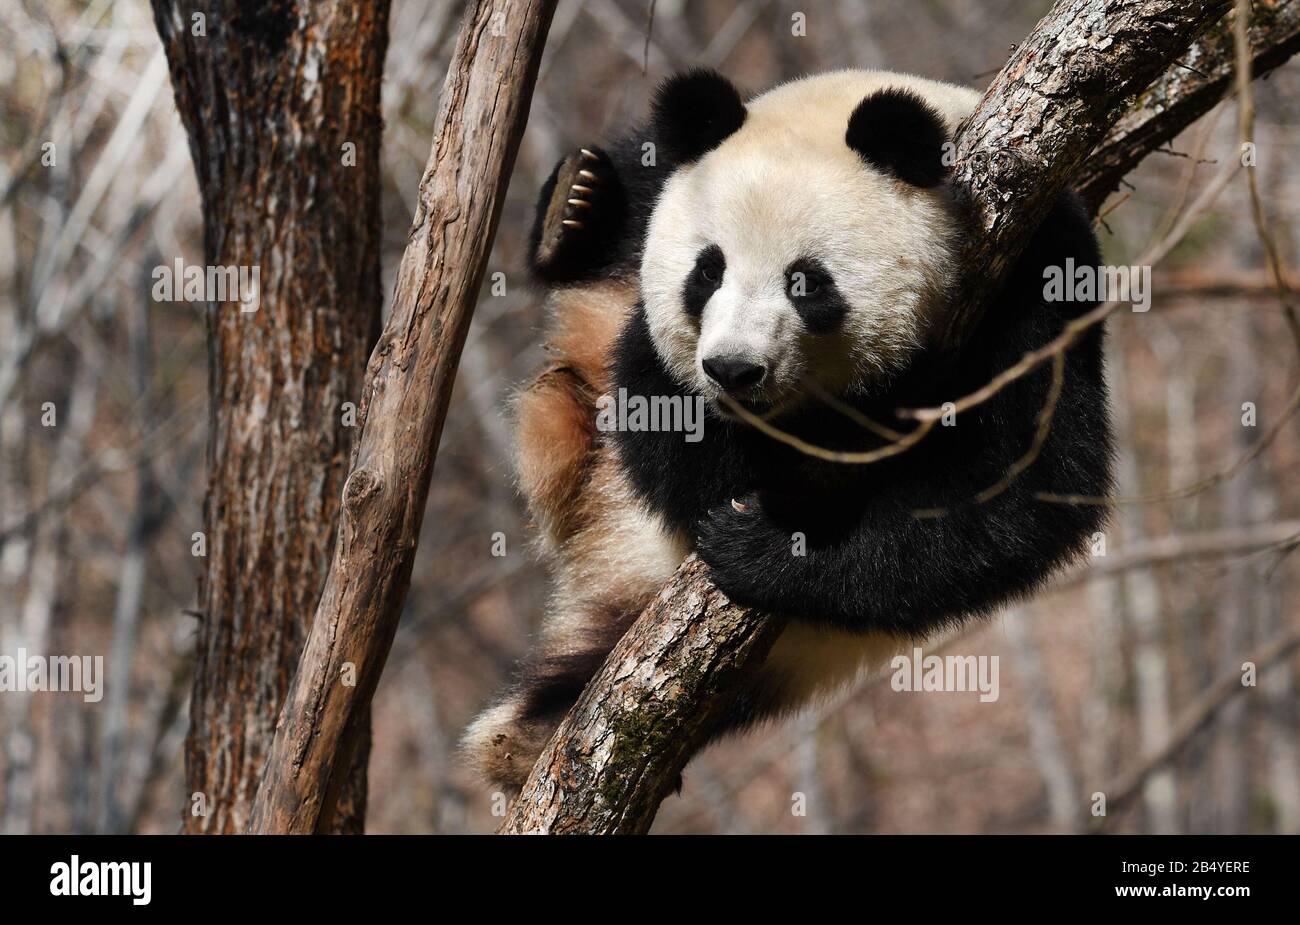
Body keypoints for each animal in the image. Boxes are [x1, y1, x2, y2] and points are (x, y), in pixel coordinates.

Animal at [464, 68, 1113, 791]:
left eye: (806, 282)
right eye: (708, 269)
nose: (733, 369)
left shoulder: (1037, 278)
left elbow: (1020, 486)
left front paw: (766, 547)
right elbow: (664, 427)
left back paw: (529, 735)